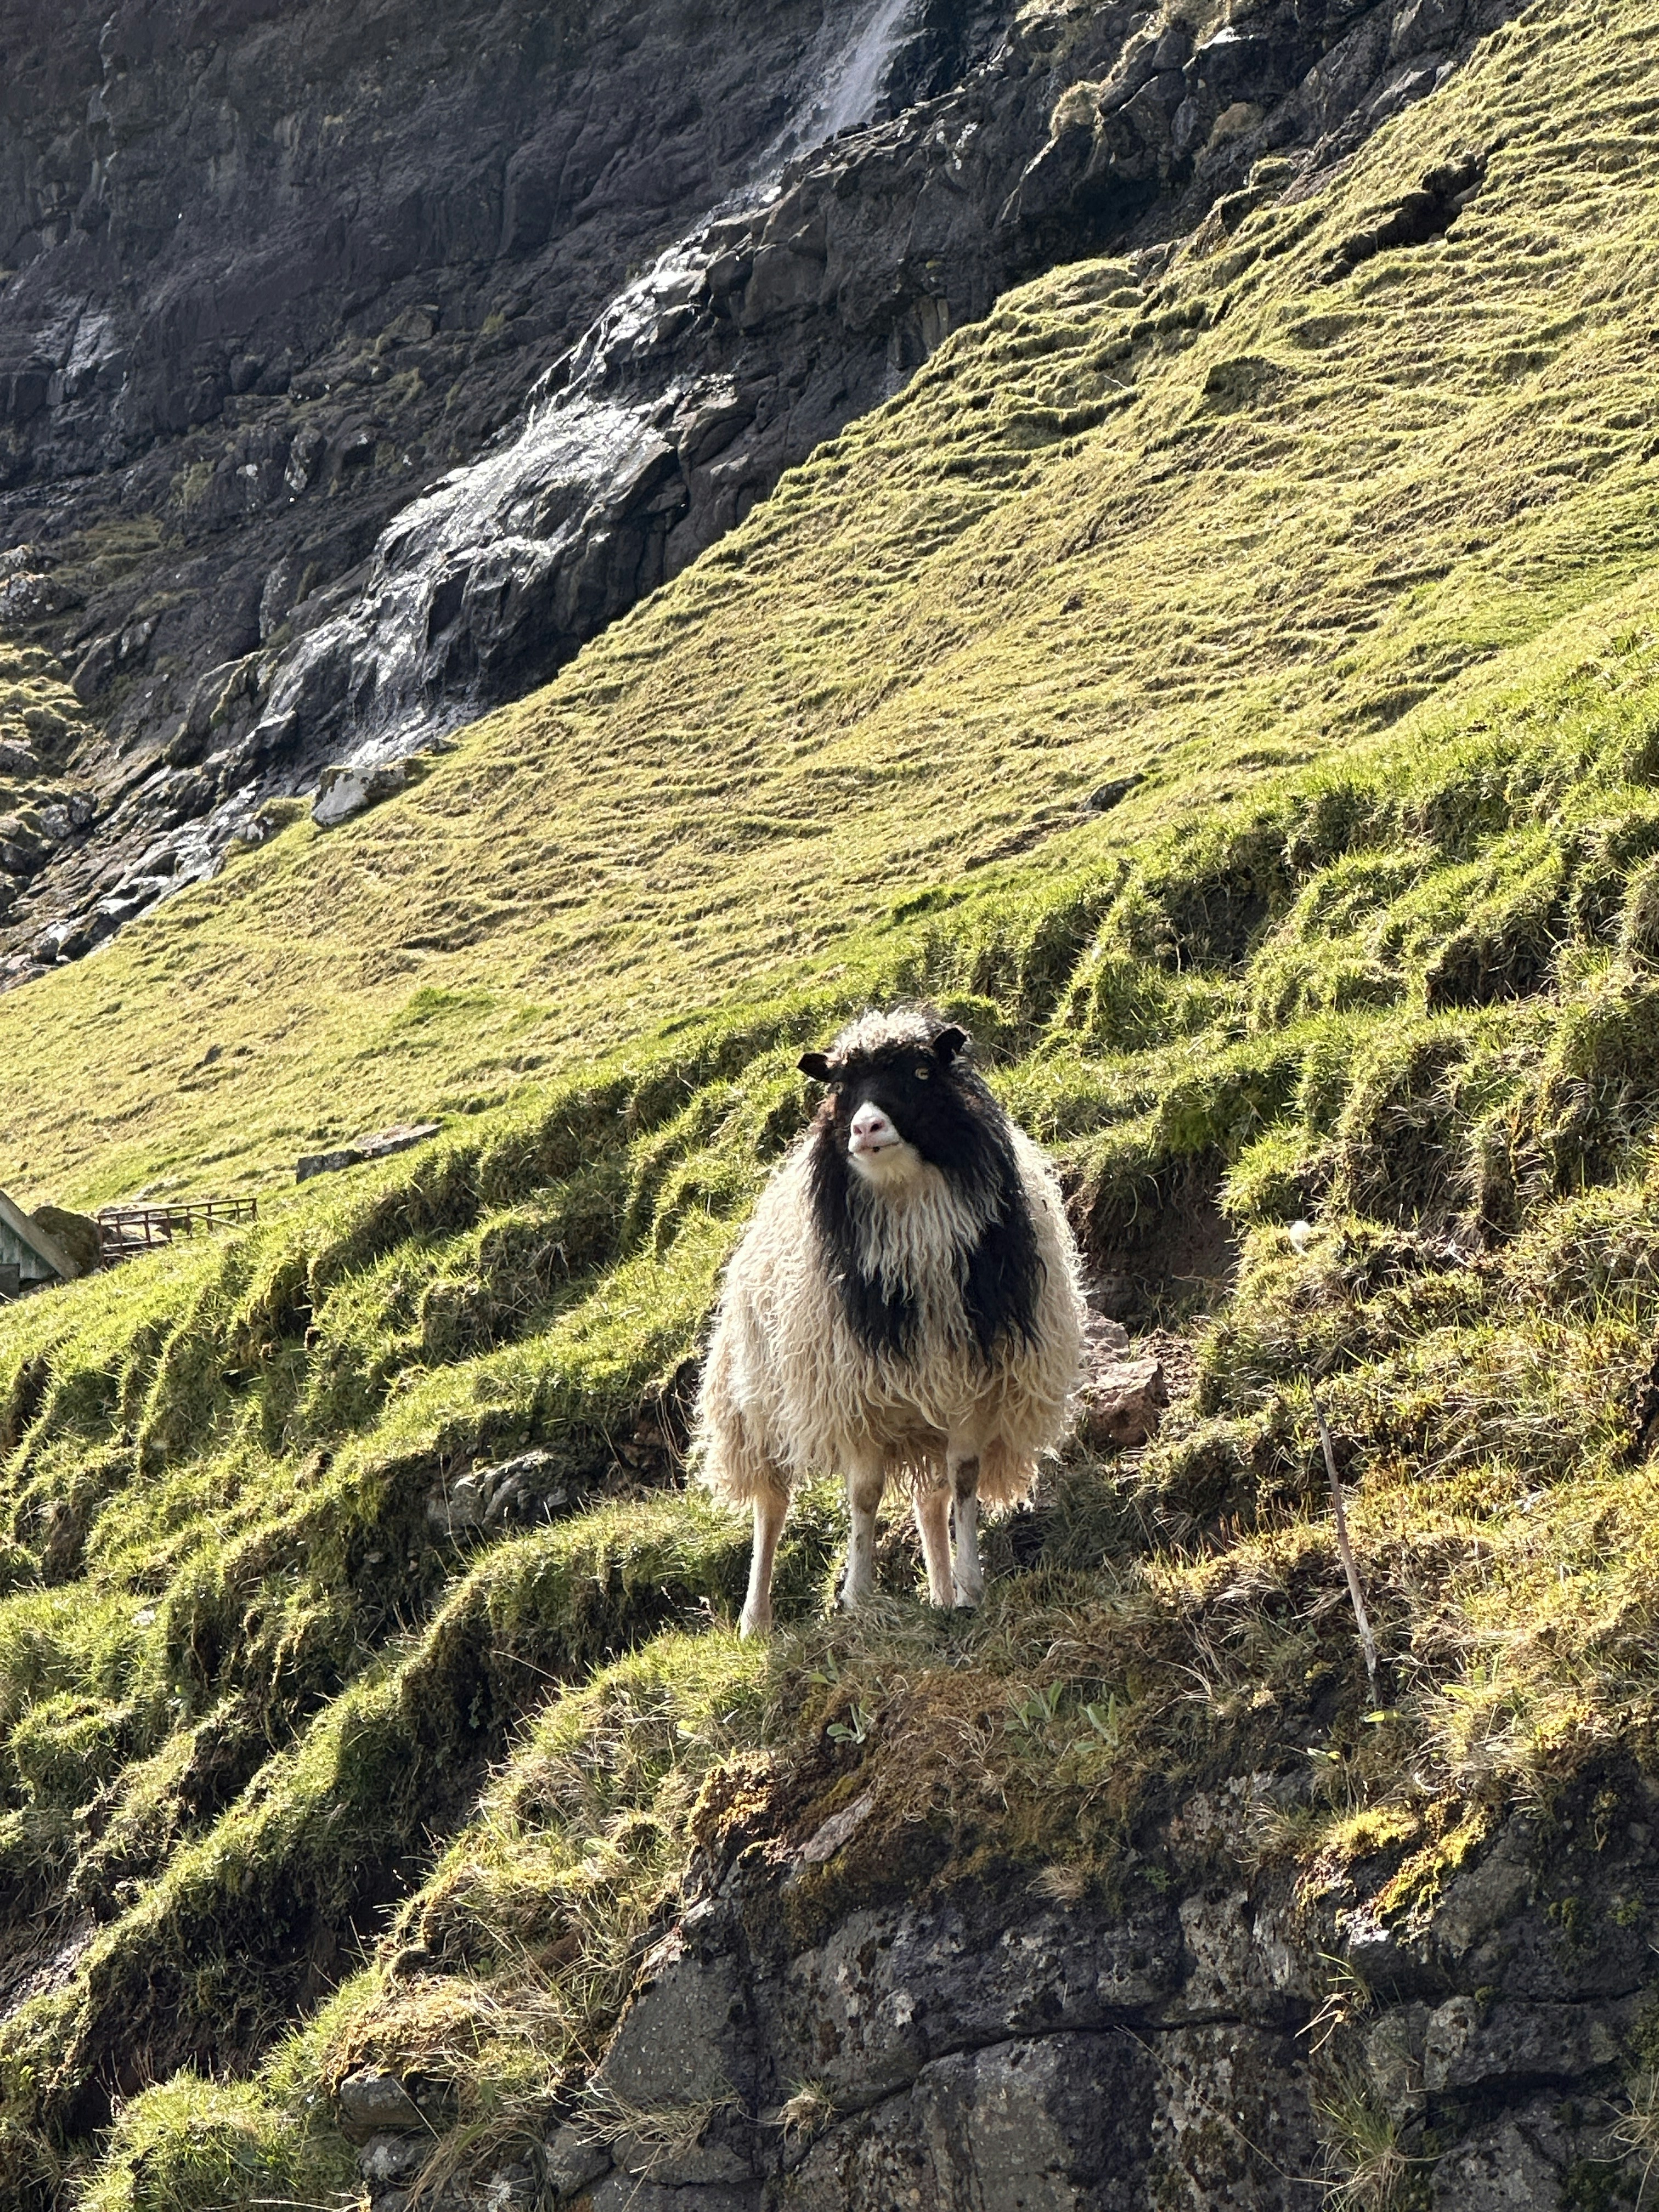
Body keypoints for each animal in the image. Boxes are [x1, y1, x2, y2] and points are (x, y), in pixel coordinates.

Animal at [694, 1006, 1086, 1636]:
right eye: (840, 1088)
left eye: (923, 1072)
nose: (865, 1129)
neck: (909, 1212)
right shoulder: (856, 1397)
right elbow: (864, 1494)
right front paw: (858, 1596)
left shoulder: (971, 1386)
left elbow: (964, 1480)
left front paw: (972, 1586)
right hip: (755, 1407)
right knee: (771, 1504)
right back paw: (756, 1620)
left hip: (923, 1412)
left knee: (930, 1501)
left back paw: (944, 1592)